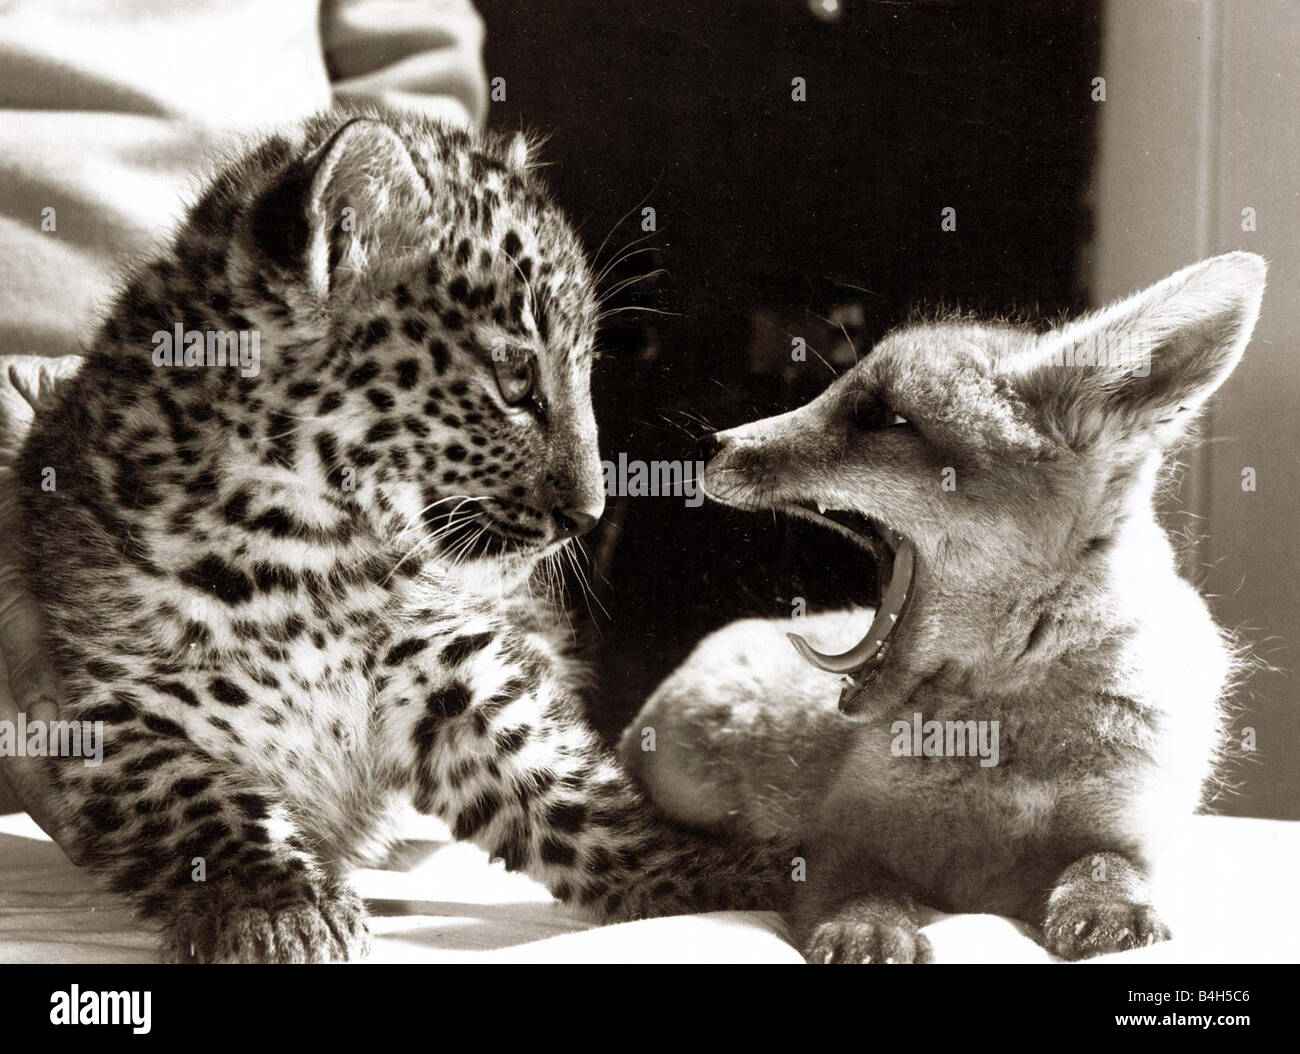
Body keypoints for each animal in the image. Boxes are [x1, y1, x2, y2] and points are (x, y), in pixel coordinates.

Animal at [16, 102, 786, 963]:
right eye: (516, 380)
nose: (587, 516)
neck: (297, 549)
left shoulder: (446, 666)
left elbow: (566, 793)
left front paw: (719, 871)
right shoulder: (111, 711)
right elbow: (205, 808)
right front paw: (280, 908)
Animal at [620, 252, 1267, 963]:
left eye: (882, 417)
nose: (708, 441)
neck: (1001, 728)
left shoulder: (1132, 831)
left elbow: (1104, 864)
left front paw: (1107, 909)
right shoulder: (838, 839)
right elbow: (863, 887)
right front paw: (869, 929)